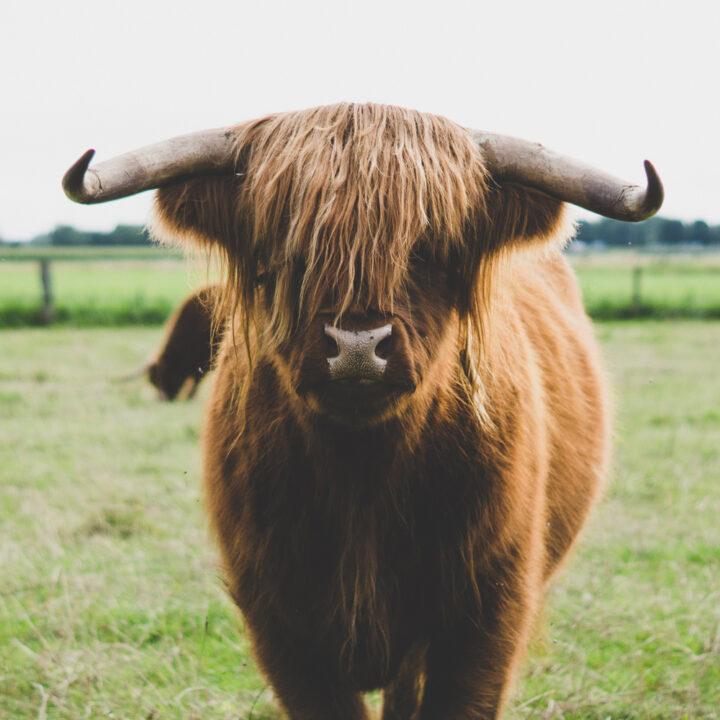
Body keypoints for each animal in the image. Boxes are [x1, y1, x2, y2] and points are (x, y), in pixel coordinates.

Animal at [63, 102, 663, 720]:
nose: (356, 344)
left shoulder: (488, 613)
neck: (363, 475)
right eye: (288, 246)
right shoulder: (279, 622)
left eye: (429, 245)